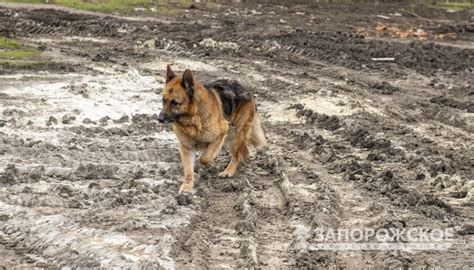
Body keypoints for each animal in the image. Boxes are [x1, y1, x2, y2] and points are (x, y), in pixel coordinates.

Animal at [159, 64, 266, 193]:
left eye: (175, 102)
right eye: (163, 100)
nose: (159, 119)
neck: (194, 118)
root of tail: (246, 89)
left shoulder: (220, 134)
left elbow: (205, 158)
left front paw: (202, 163)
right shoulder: (186, 148)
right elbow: (188, 170)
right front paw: (187, 186)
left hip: (235, 134)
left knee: (236, 155)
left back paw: (229, 171)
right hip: (232, 137)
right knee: (243, 151)